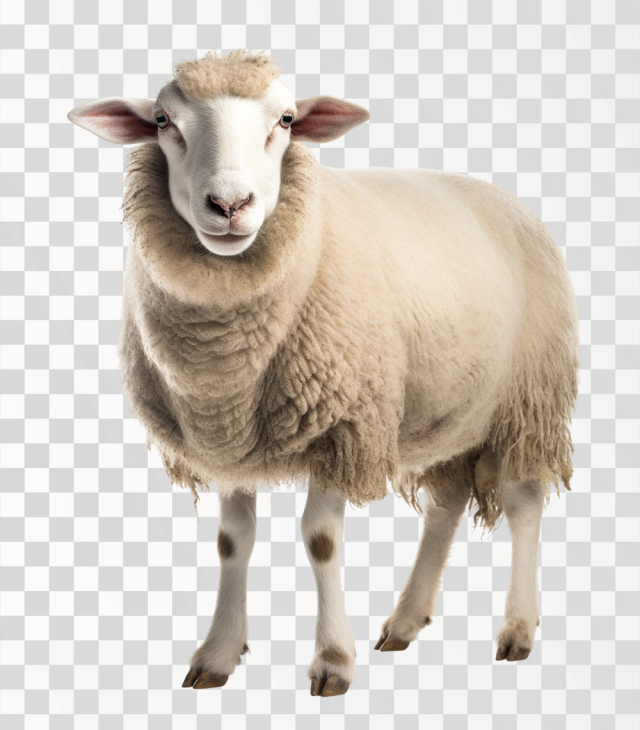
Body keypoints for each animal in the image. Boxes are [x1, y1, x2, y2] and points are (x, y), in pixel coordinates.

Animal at [67, 50, 580, 697]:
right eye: (162, 120)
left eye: (286, 120)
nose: (230, 205)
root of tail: (501, 196)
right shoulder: (225, 436)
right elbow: (232, 543)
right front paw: (218, 653)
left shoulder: (346, 423)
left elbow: (321, 540)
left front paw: (333, 660)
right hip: (449, 405)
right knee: (446, 502)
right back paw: (406, 620)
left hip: (528, 395)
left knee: (522, 502)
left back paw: (516, 629)